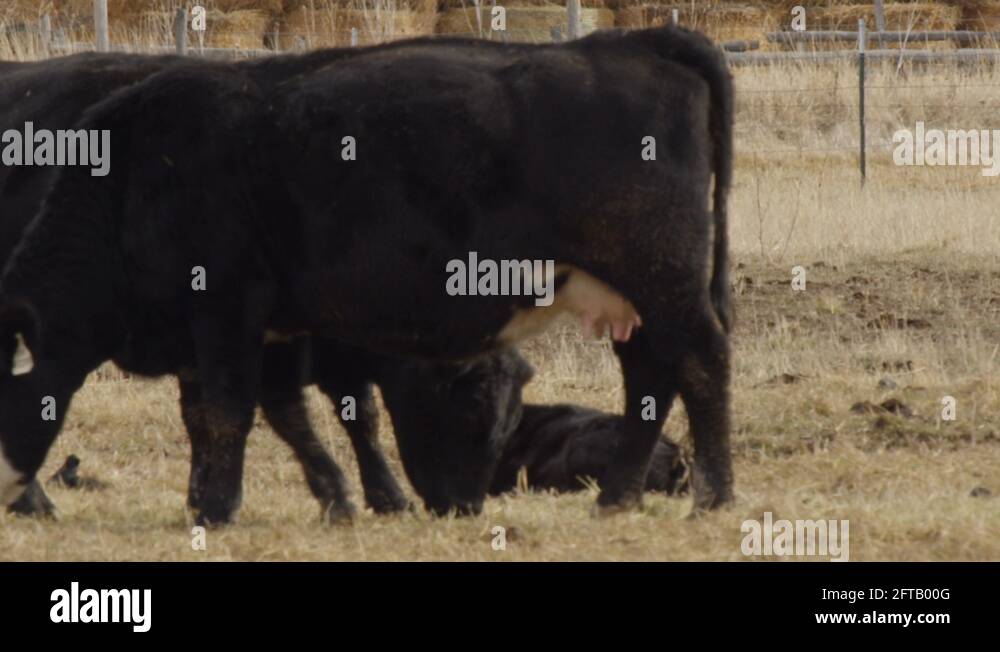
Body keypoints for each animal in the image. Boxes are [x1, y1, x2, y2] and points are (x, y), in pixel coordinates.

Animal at [0, 25, 734, 524]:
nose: (463, 506)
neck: (136, 174)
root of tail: (629, 42)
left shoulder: (229, 309)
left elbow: (232, 411)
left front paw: (217, 508)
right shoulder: (254, 330)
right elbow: (247, 413)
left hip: (663, 280)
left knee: (699, 363)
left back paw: (713, 496)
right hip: (631, 296)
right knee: (649, 375)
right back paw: (617, 497)